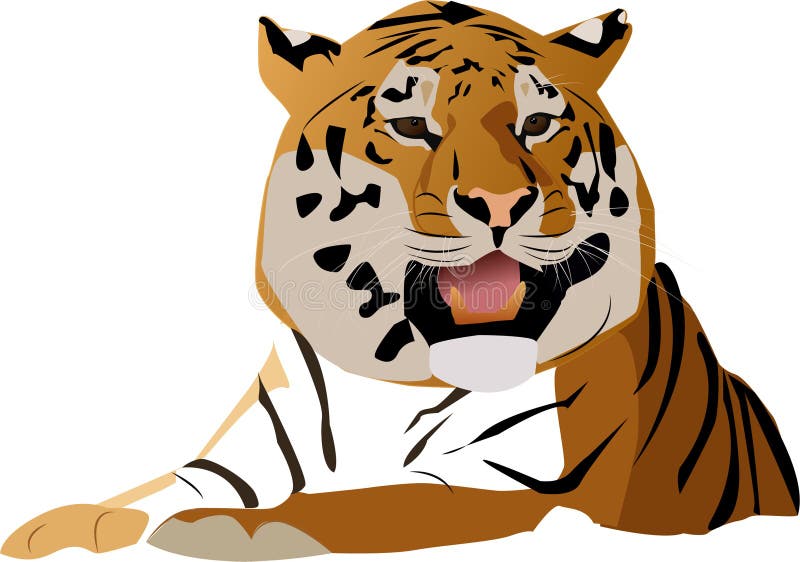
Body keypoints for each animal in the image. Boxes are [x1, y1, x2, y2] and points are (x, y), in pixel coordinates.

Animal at [3, 1, 798, 560]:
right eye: (412, 125)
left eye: (538, 122)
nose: (500, 204)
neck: (388, 381)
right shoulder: (231, 456)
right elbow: (149, 490)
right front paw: (61, 527)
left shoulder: (523, 491)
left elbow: (360, 505)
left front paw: (220, 528)